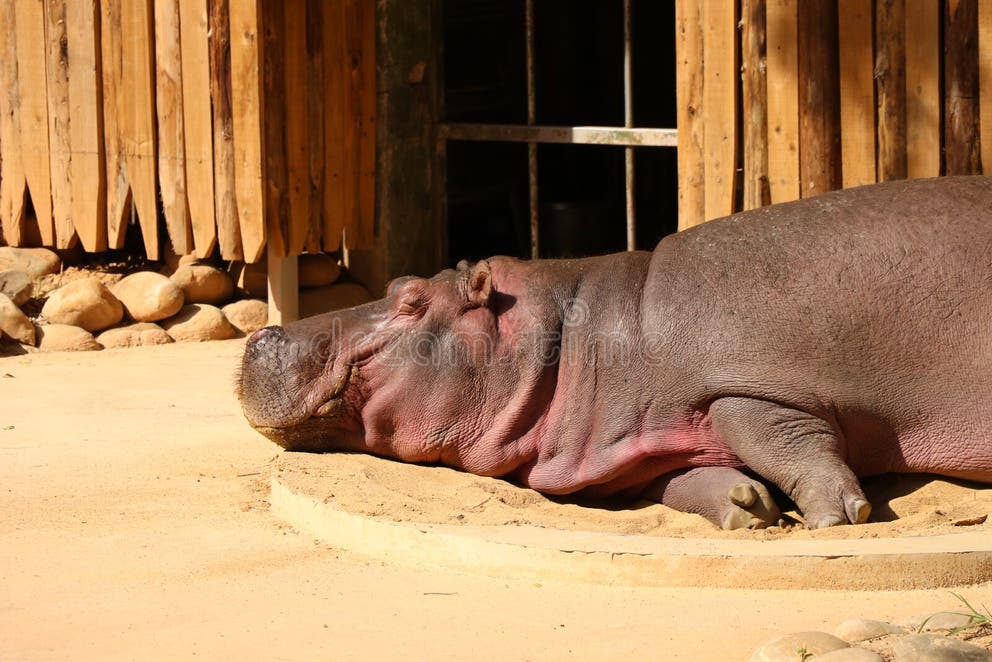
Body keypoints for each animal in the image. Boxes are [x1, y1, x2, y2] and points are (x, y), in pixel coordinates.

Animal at [238, 176, 992, 530]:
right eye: (395, 282)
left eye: (412, 299)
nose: (262, 334)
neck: (587, 335)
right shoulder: (642, 447)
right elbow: (686, 480)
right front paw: (748, 506)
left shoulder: (751, 384)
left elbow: (780, 435)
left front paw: (840, 517)